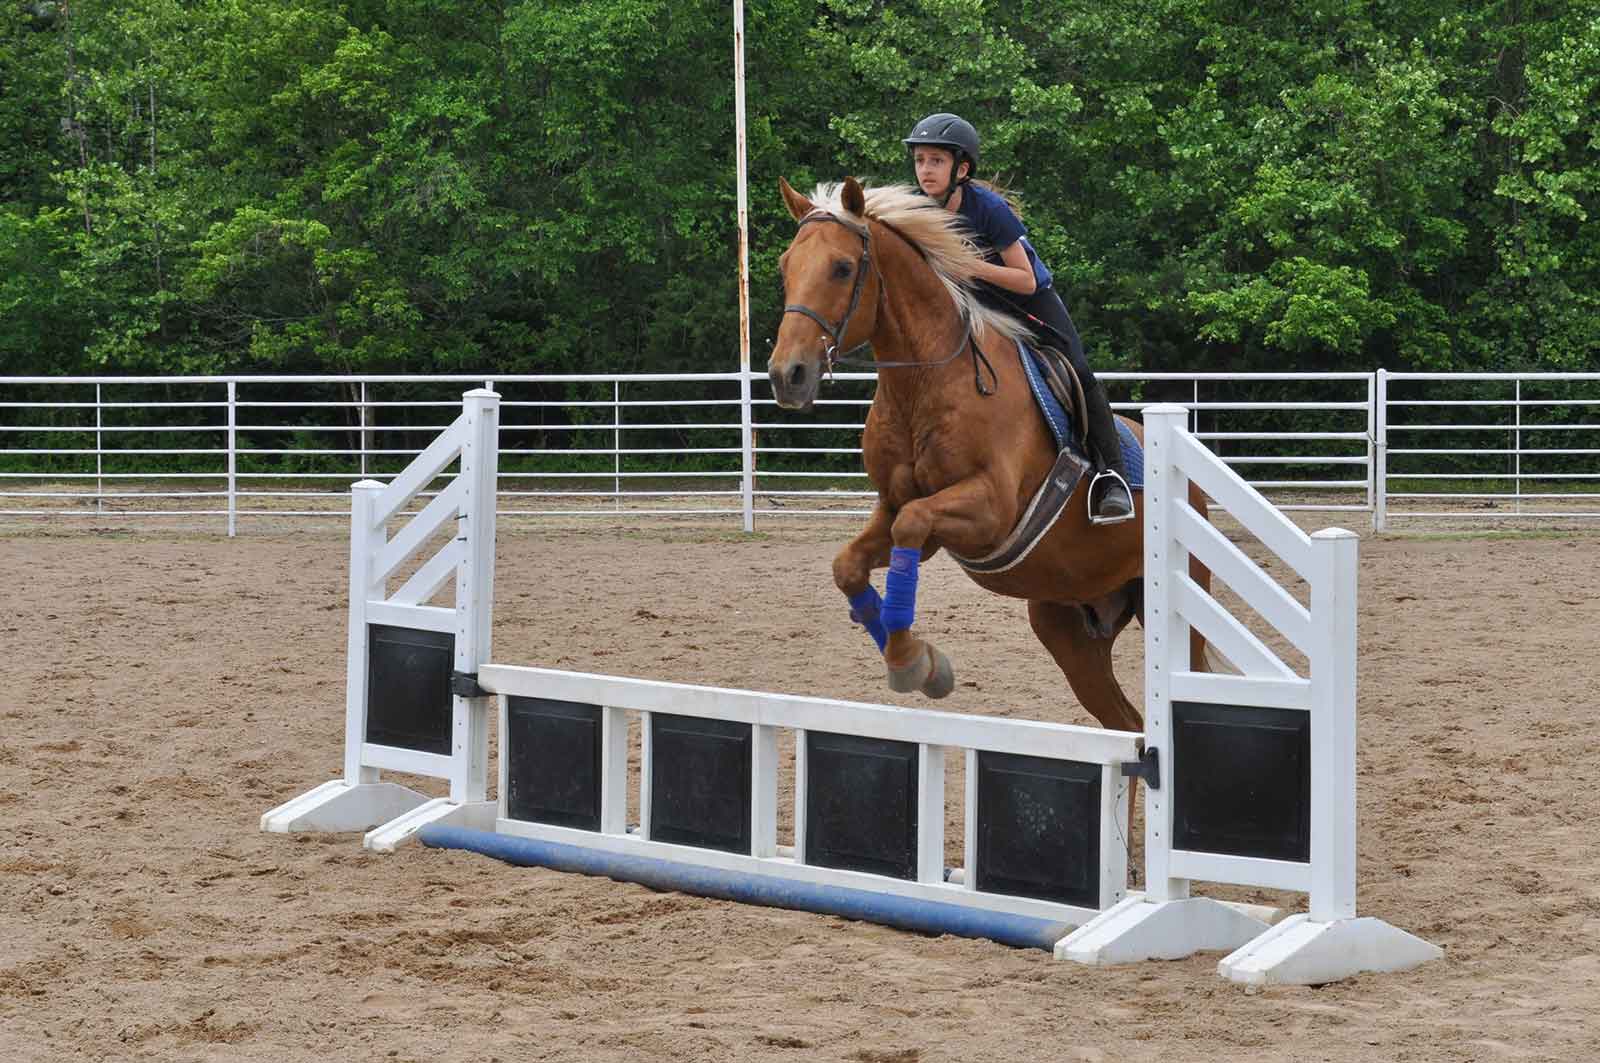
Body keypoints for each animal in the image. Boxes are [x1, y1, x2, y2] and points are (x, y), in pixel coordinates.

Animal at [767, 176, 1215, 735]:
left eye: (842, 268)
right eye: (786, 266)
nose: (788, 375)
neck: (925, 383)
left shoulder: (990, 512)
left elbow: (912, 524)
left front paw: (913, 662)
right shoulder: (901, 512)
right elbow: (850, 564)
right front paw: (919, 664)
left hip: (1176, 612)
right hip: (1069, 627)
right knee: (1128, 724)